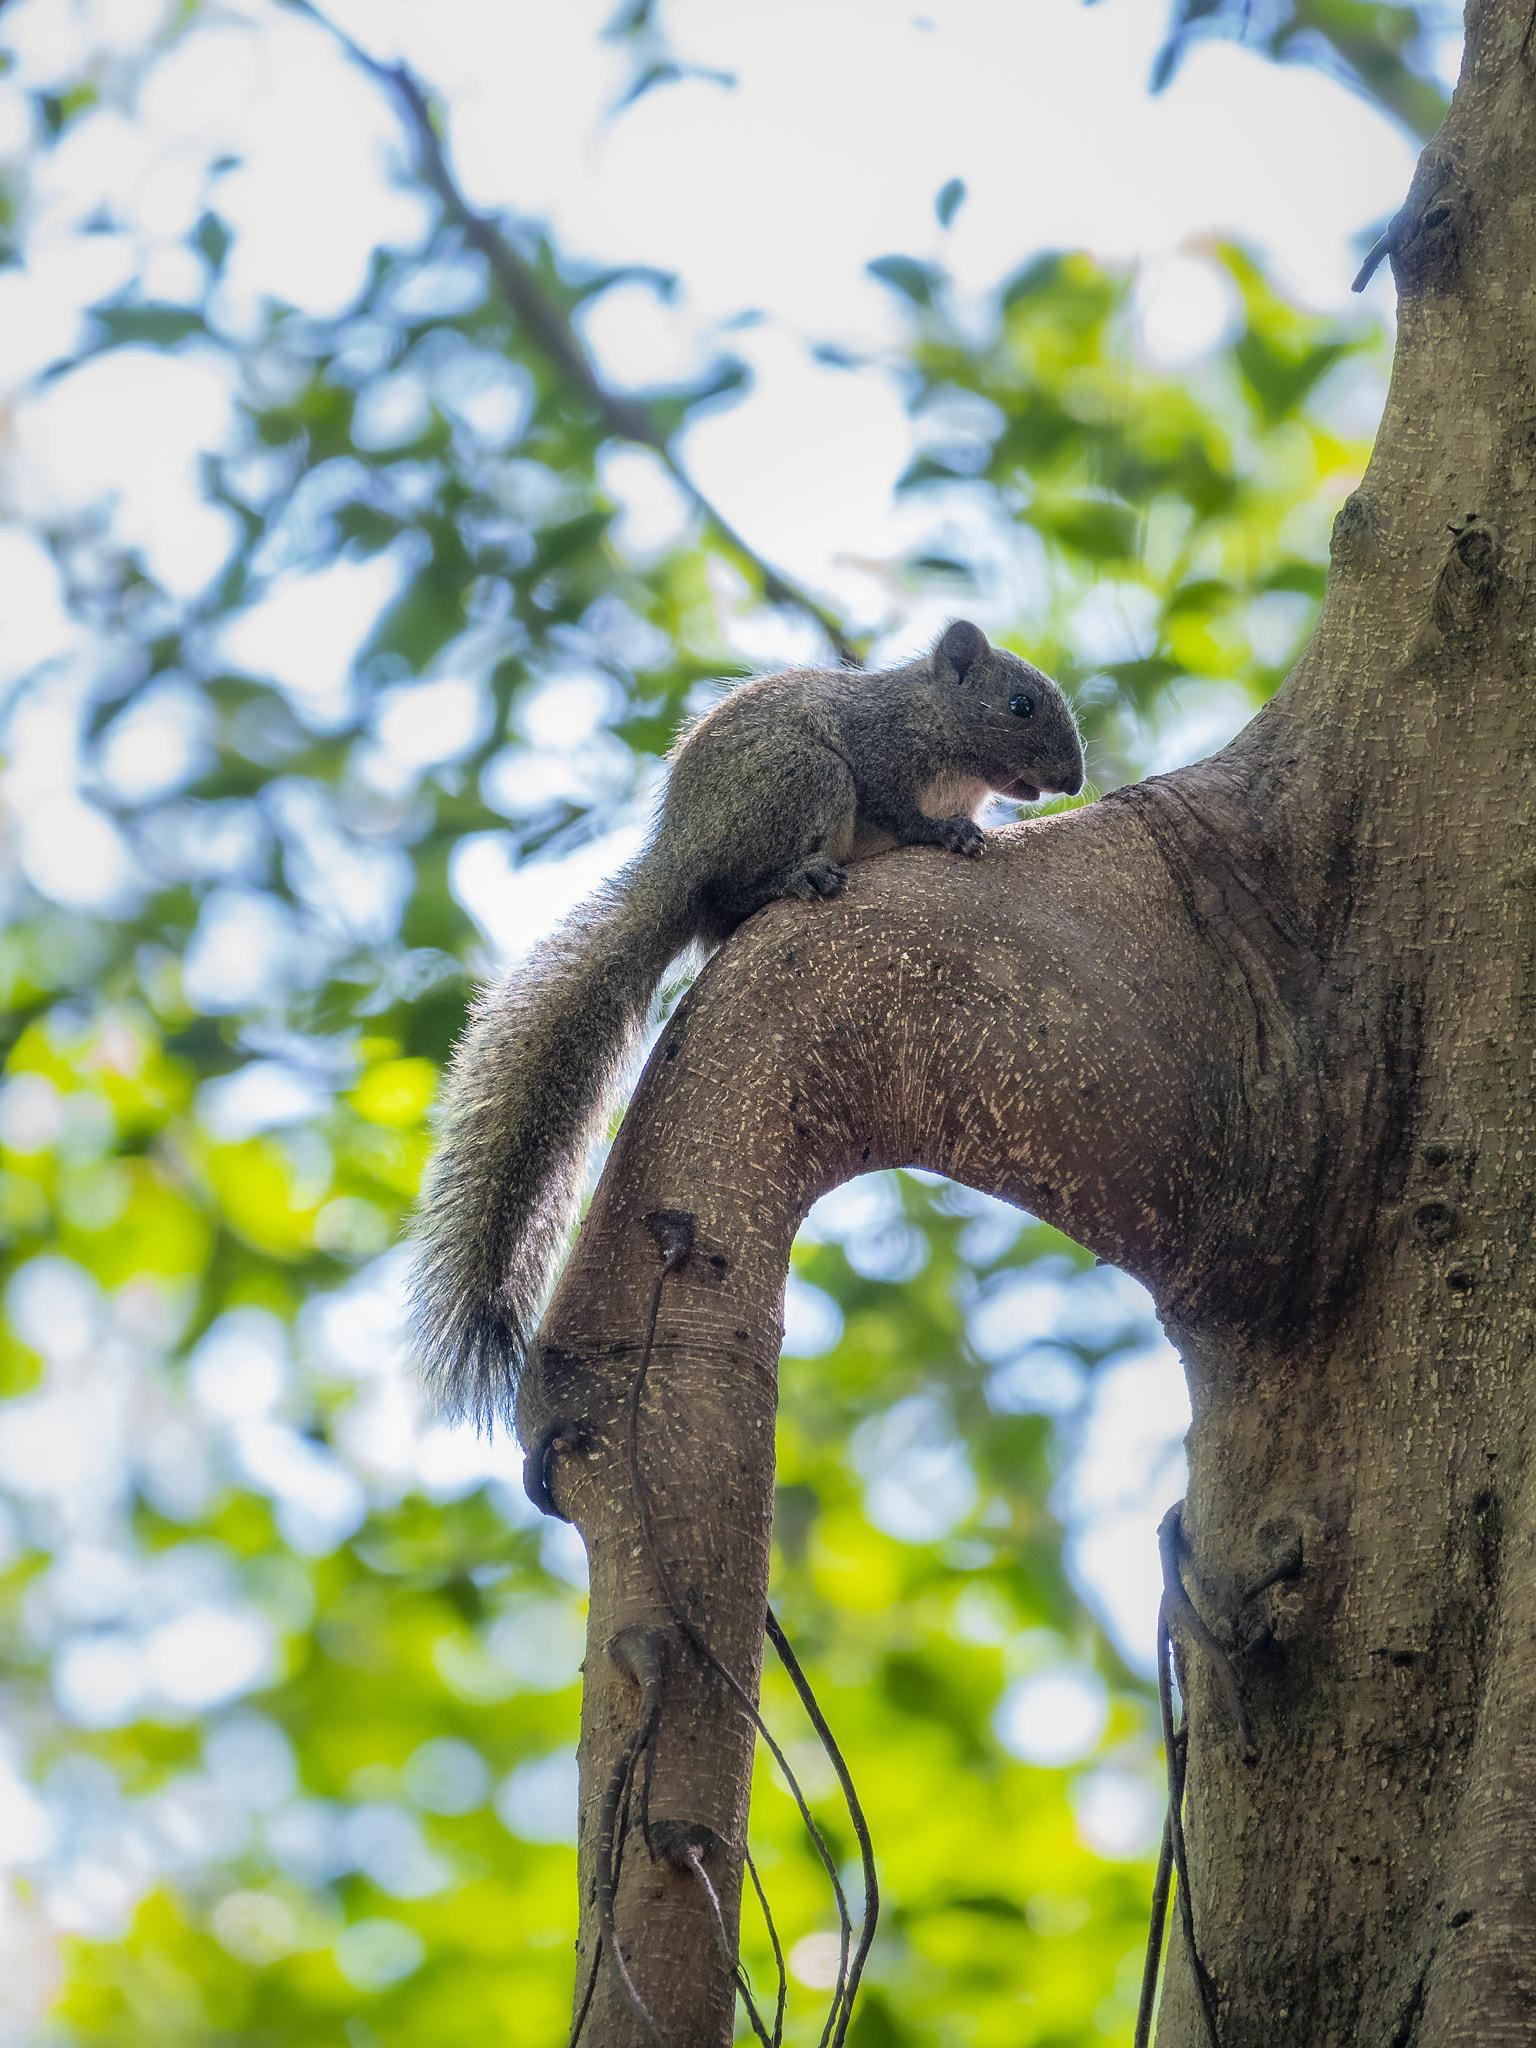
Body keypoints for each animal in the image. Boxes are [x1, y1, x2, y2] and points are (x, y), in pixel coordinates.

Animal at [409, 614, 1081, 1433]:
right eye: (1019, 705)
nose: (1074, 781)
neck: (938, 727)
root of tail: (680, 861)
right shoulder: (880, 755)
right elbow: (900, 809)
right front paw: (946, 831)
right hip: (799, 780)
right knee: (735, 889)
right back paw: (796, 875)